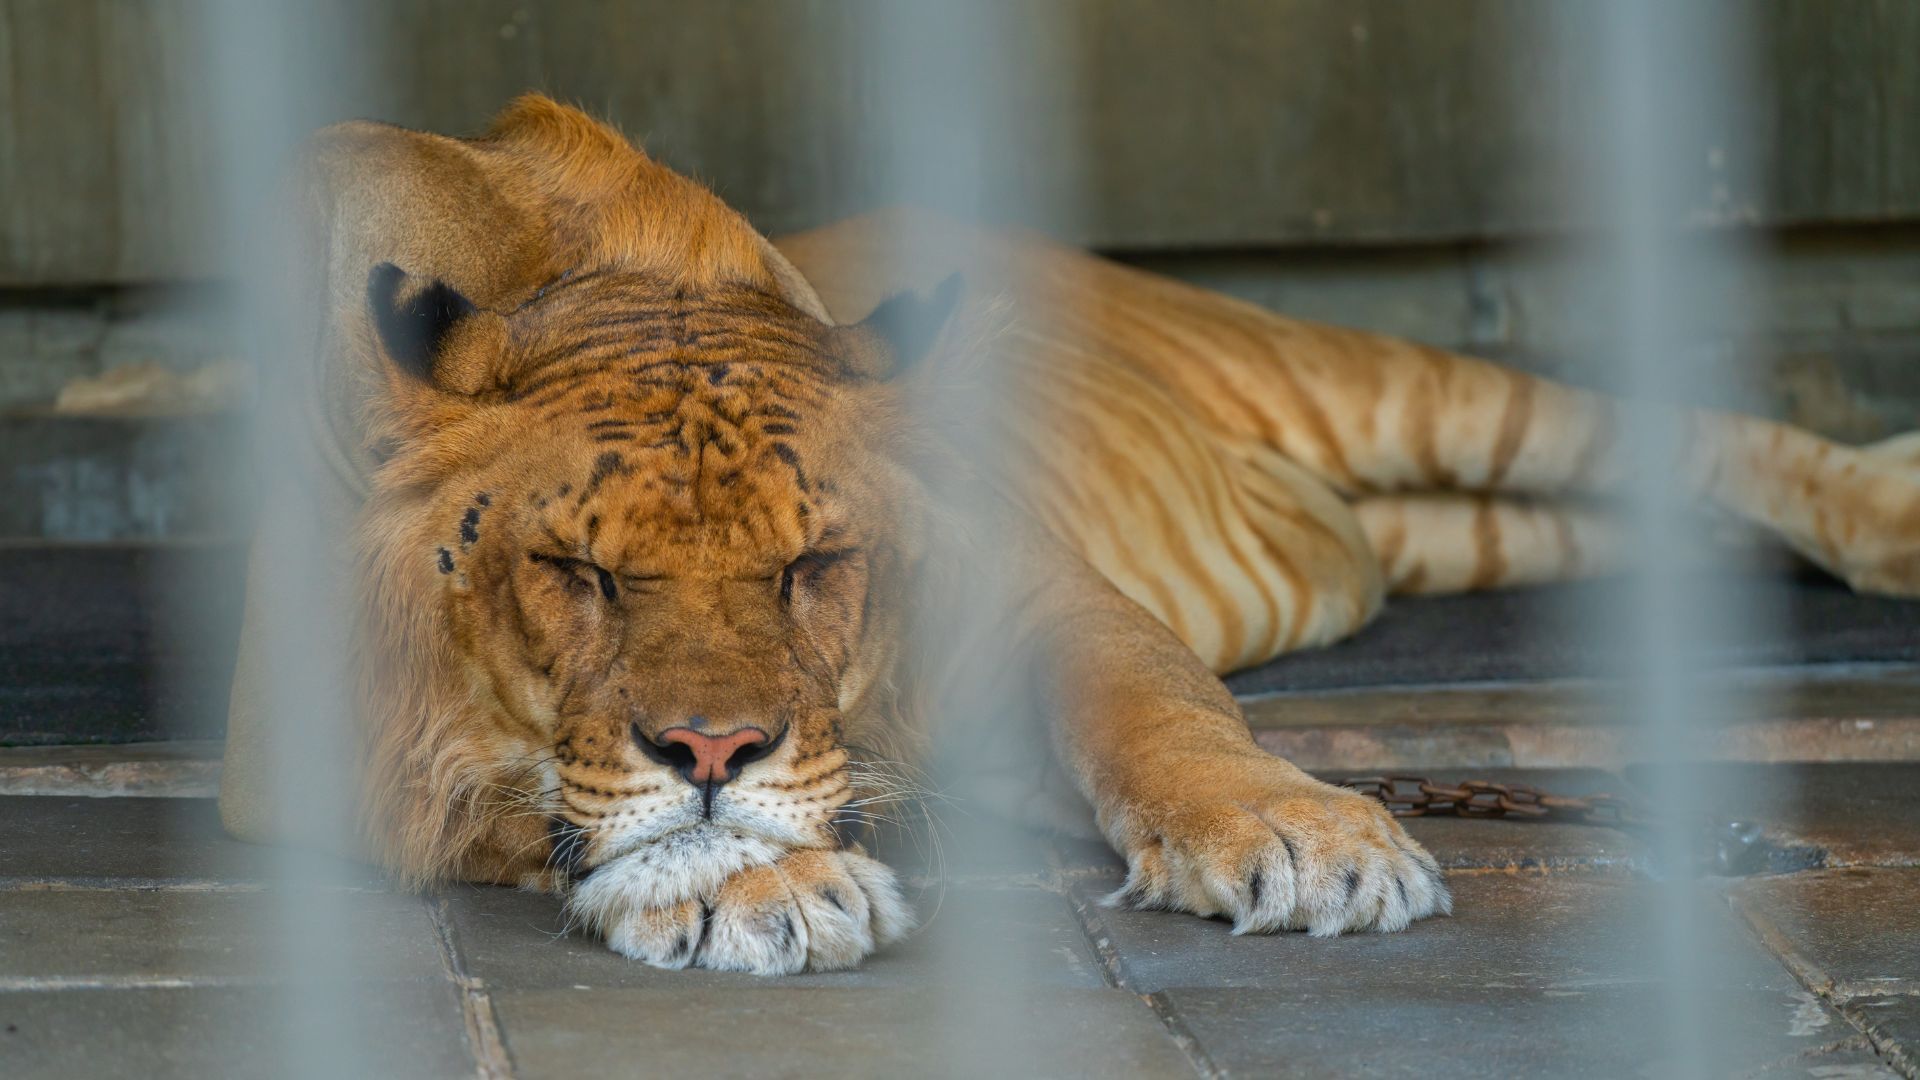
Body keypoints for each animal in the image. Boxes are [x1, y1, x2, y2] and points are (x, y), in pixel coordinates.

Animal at [219, 94, 1920, 975]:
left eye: (813, 567)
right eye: (578, 575)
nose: (719, 749)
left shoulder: (1029, 596)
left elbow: (1157, 714)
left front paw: (1309, 840)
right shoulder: (315, 739)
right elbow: (527, 798)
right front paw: (744, 878)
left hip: (1373, 386)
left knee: (1679, 438)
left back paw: (1888, 518)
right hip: (1433, 534)